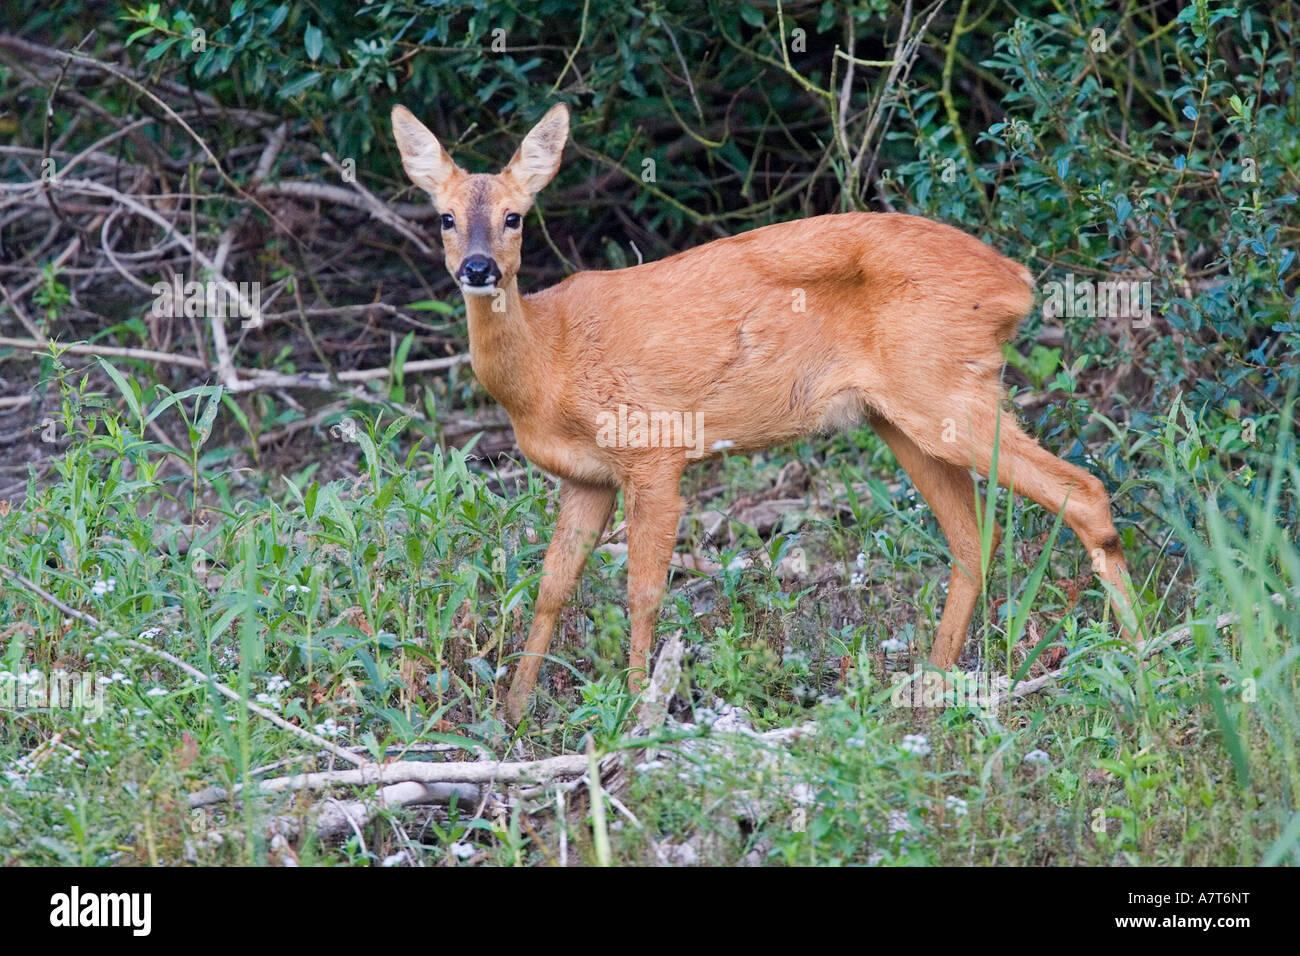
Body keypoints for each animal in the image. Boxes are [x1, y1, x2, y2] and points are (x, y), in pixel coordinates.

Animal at [390, 102, 1138, 724]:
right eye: (445, 216)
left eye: (516, 215)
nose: (479, 269)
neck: (549, 363)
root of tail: (1019, 283)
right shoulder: (586, 477)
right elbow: (551, 587)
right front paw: (513, 714)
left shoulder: (653, 448)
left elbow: (643, 591)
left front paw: (635, 714)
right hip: (903, 417)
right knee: (975, 539)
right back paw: (925, 690)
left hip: (946, 390)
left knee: (1083, 492)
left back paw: (1143, 659)